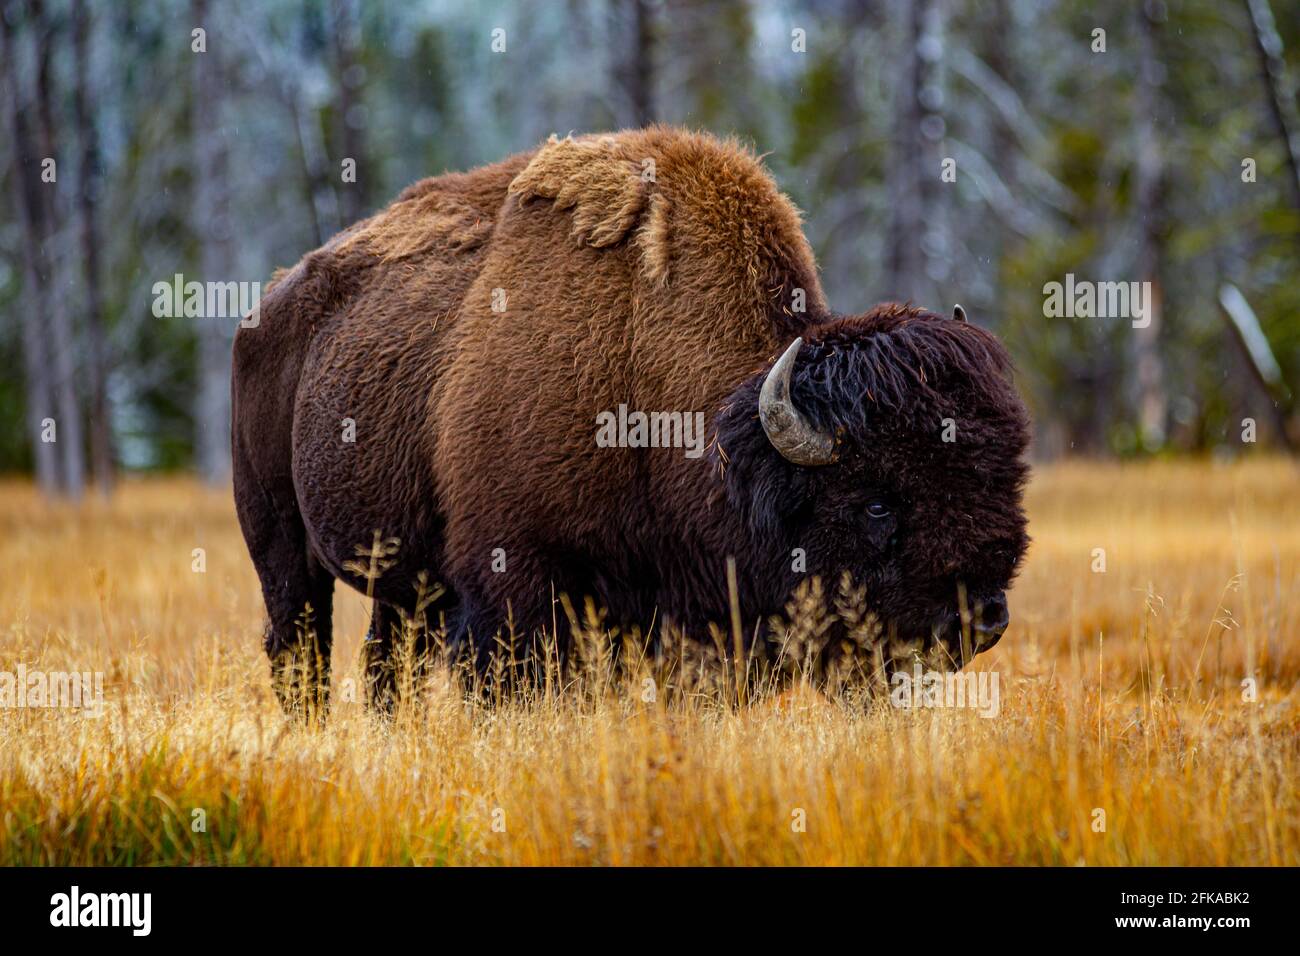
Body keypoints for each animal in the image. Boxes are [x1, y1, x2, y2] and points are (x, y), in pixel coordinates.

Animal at [231, 127, 1030, 713]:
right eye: (875, 503)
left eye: (1004, 480)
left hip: (404, 586)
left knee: (383, 665)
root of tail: (269, 305)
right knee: (298, 648)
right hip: (279, 545)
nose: (983, 619)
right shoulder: (514, 586)